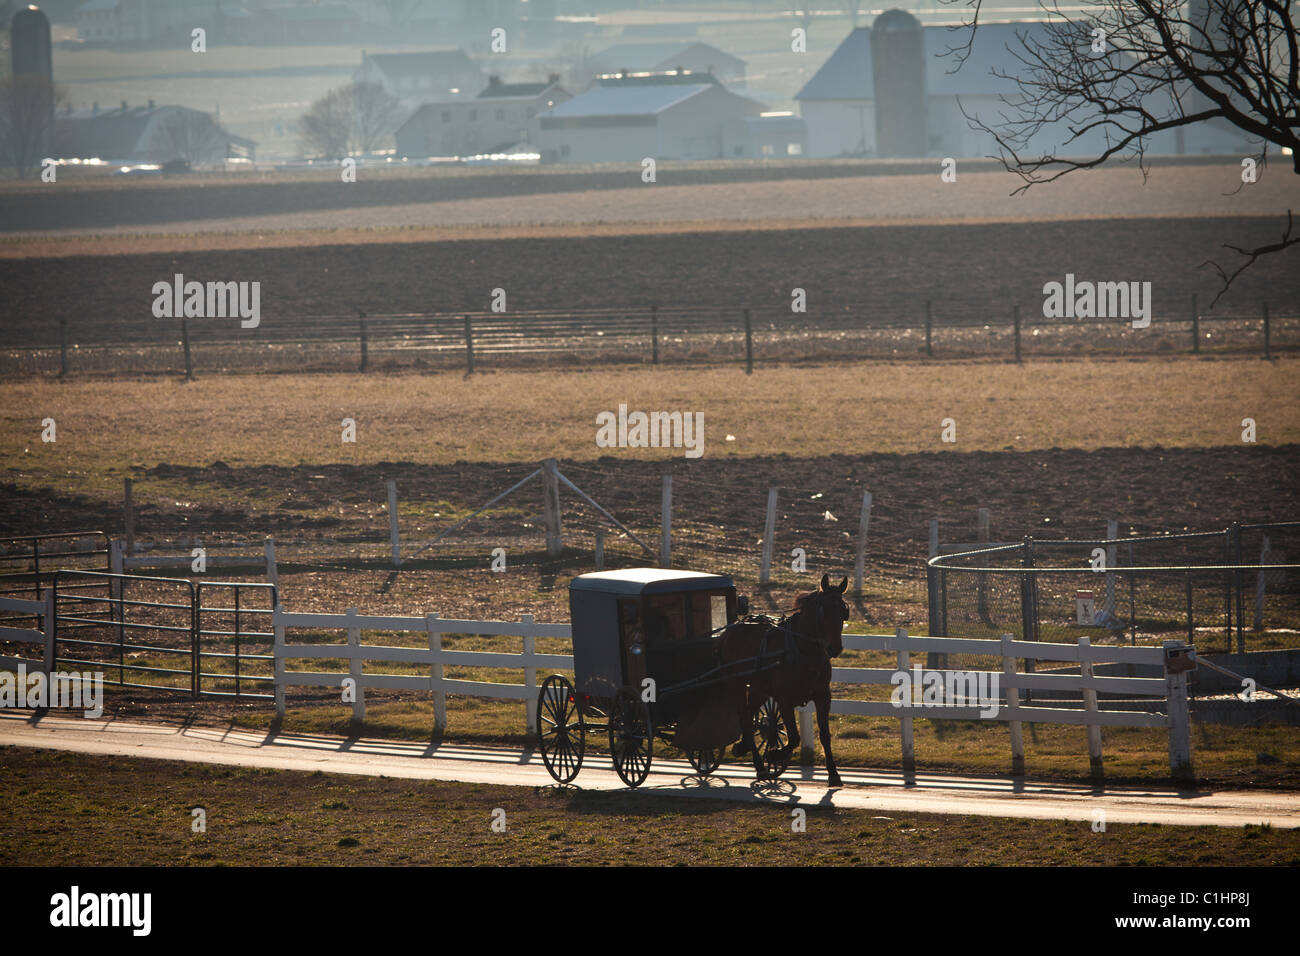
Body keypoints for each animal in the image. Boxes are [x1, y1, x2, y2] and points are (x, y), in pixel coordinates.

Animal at [719, 573, 849, 787]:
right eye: (824, 611)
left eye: (844, 611)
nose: (834, 648)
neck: (803, 651)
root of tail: (729, 630)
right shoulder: (785, 699)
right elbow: (795, 738)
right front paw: (774, 754)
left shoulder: (823, 696)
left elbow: (825, 735)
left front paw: (833, 774)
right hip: (736, 684)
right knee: (745, 718)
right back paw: (760, 766)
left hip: (759, 689)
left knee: (750, 715)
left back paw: (745, 748)